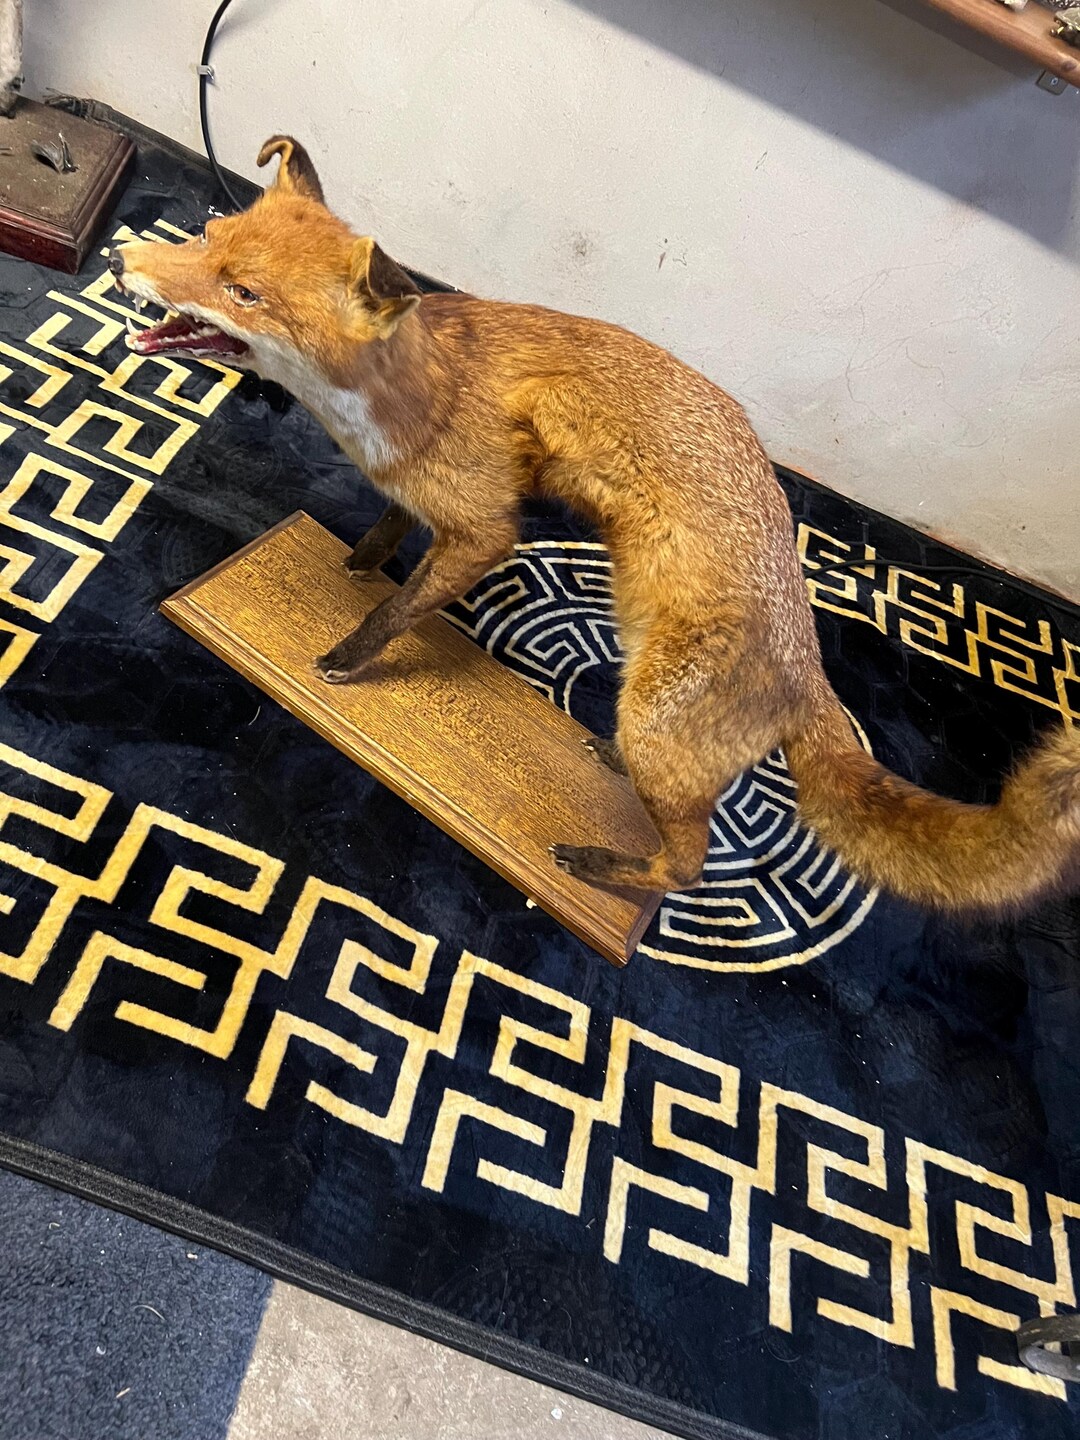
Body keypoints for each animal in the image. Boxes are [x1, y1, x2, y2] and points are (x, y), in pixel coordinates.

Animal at [111, 134, 1080, 910]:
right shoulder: (427, 496)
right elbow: (387, 534)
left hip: (652, 723)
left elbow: (399, 611)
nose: (124, 264)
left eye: (243, 293)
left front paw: (346, 659)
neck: (404, 396)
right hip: (663, 739)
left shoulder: (486, 530)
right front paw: (356, 562)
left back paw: (602, 870)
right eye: (207, 238)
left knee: (687, 867)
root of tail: (809, 671)